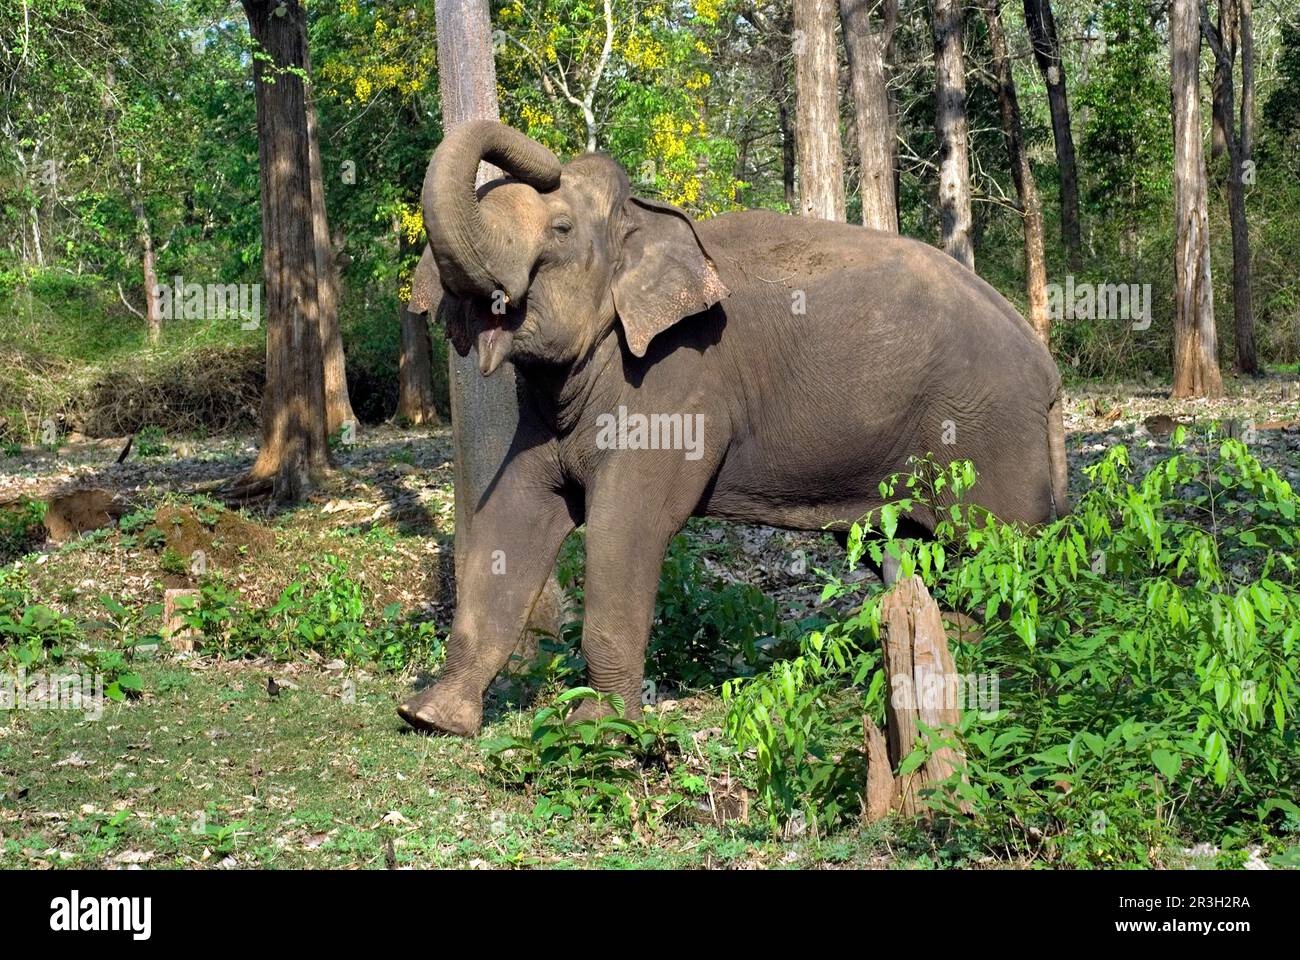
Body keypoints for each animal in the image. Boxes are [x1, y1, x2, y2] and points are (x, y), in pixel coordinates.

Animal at [398, 120, 1068, 736]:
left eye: (561, 230)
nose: (541, 156)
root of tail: (1049, 370)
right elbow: (512, 511)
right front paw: (430, 716)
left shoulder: (676, 384)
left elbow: (625, 526)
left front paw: (600, 730)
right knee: (919, 554)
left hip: (988, 435)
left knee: (1001, 552)